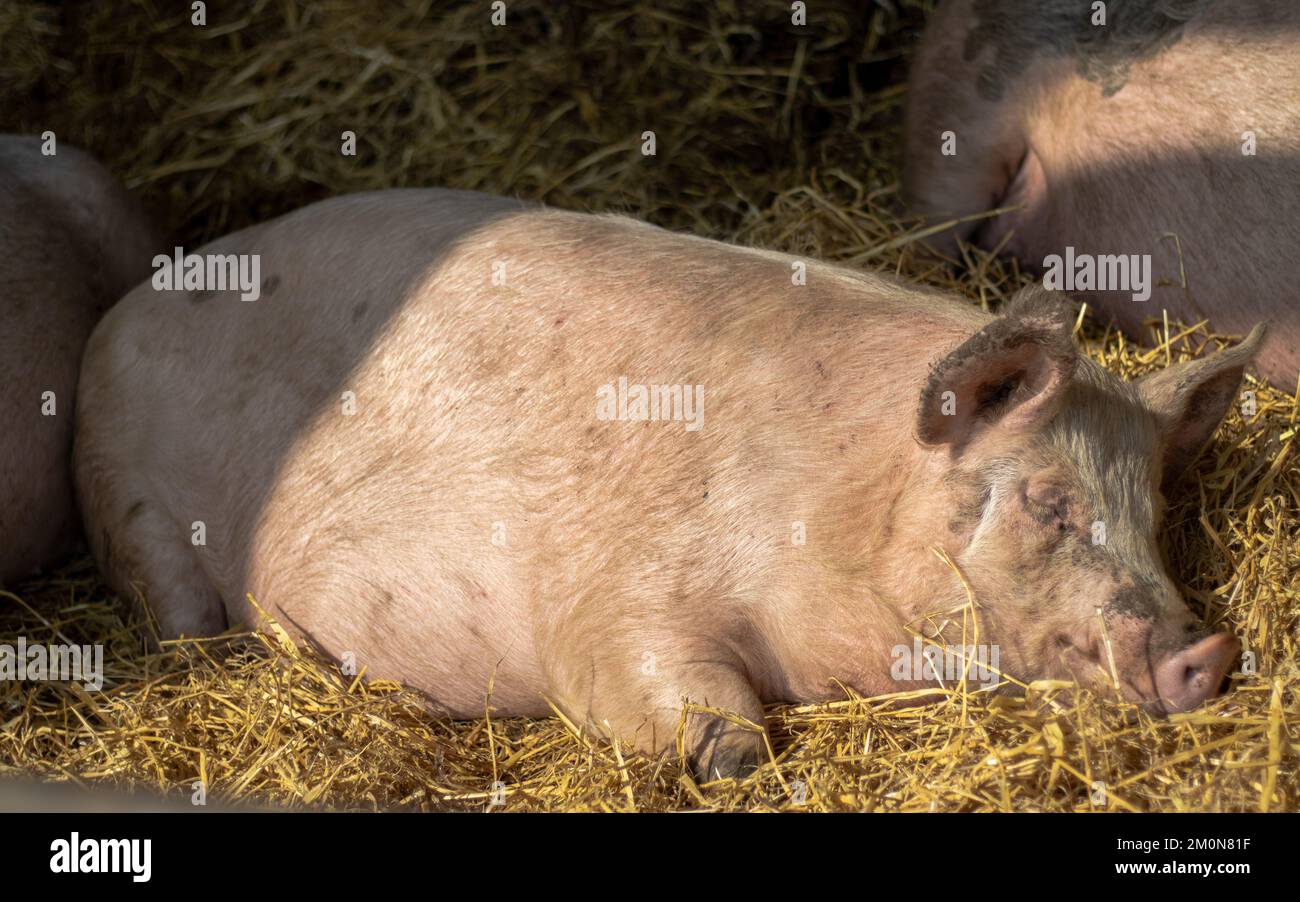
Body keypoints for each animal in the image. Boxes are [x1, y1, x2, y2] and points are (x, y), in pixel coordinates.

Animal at [74, 188, 1259, 779]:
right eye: (1048, 501)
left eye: (1154, 514)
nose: (1206, 651)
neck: (828, 508)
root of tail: (127, 305)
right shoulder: (610, 597)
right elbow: (711, 725)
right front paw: (730, 759)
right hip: (132, 500)